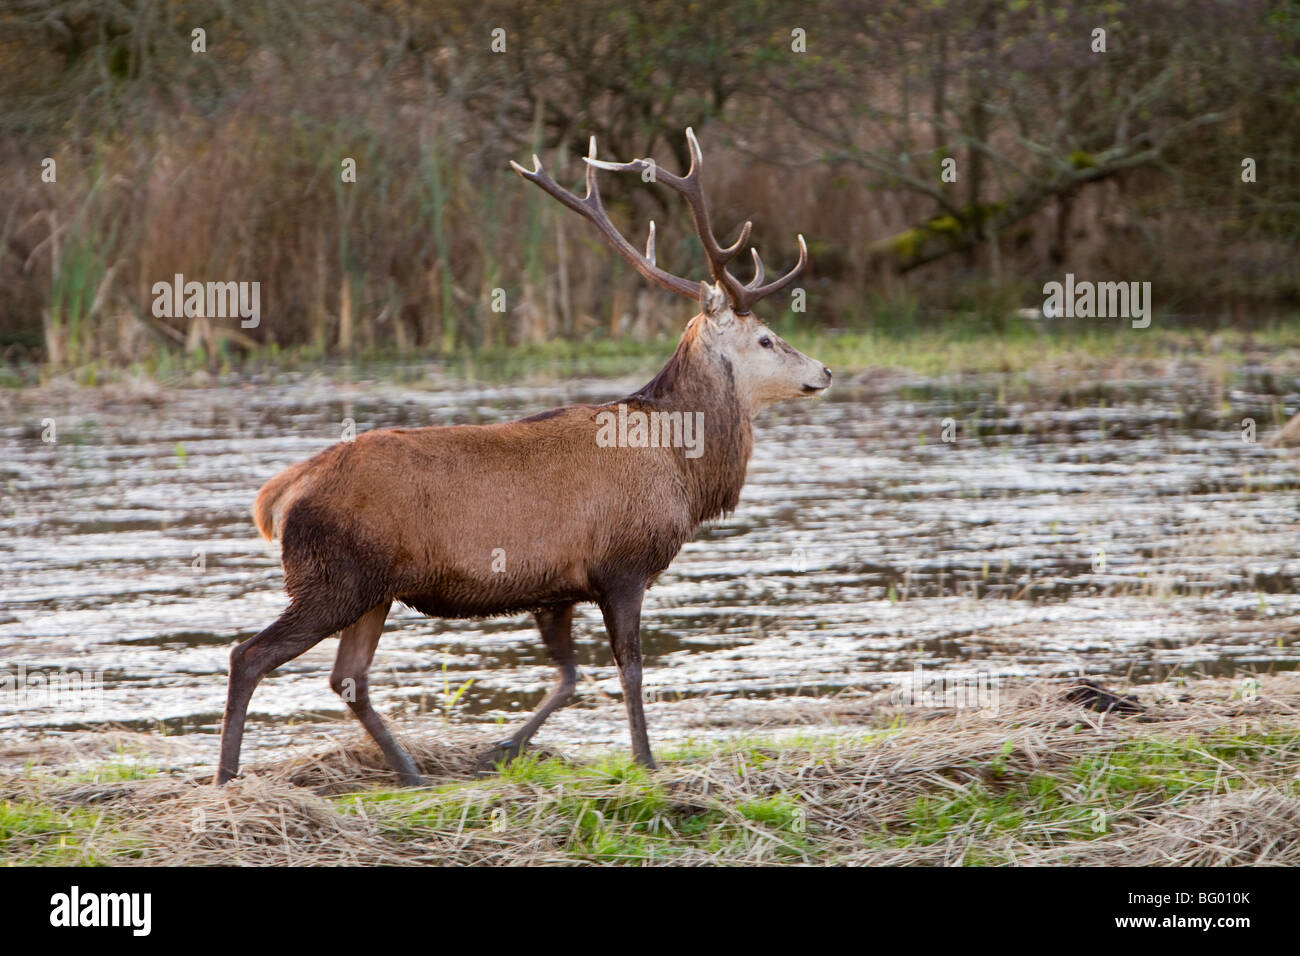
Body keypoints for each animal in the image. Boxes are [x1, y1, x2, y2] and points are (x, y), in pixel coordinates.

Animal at [213, 128, 831, 786]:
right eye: (766, 338)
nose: (824, 370)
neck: (681, 469)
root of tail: (279, 495)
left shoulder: (556, 587)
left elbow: (569, 677)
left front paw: (500, 749)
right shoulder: (620, 564)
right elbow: (630, 669)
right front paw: (645, 760)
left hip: (372, 591)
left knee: (348, 677)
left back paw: (412, 774)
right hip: (333, 577)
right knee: (249, 655)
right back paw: (227, 778)